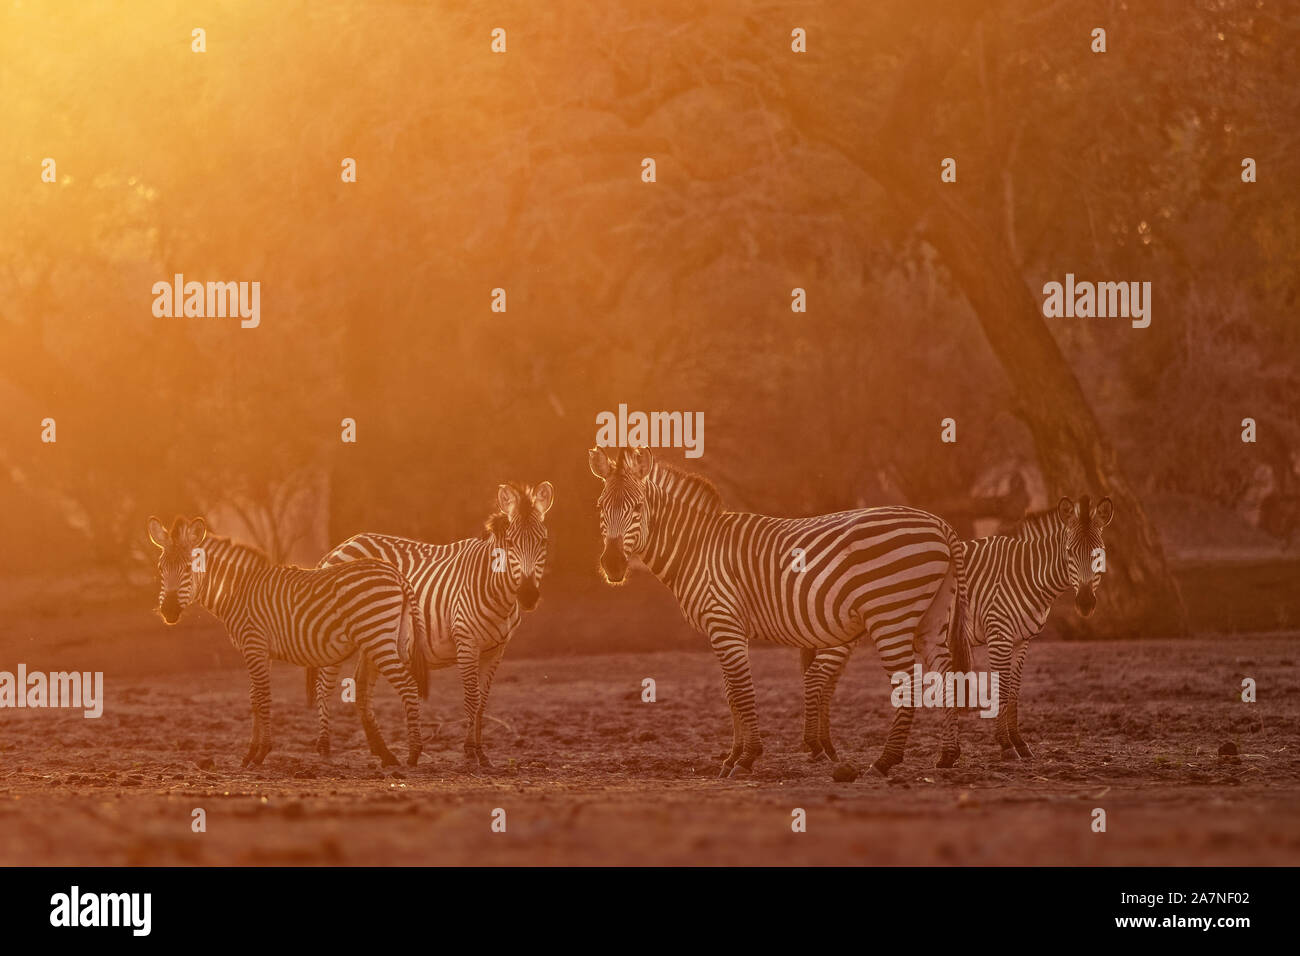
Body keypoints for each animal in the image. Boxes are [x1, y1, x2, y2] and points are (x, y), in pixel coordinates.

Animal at [147, 515, 424, 767]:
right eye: (161, 569)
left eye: (188, 568)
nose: (169, 611)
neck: (236, 592)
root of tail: (396, 573)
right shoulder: (259, 651)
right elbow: (254, 698)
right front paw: (250, 753)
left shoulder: (254, 644)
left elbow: (263, 697)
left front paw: (261, 752)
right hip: (389, 640)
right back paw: (390, 755)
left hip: (378, 638)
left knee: (408, 685)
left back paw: (413, 754)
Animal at [313, 481, 553, 767]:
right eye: (510, 543)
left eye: (543, 541)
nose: (528, 595)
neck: (493, 587)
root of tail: (342, 545)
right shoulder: (466, 642)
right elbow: (471, 698)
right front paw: (469, 752)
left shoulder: (496, 649)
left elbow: (483, 701)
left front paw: (481, 753)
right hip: (335, 631)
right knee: (325, 685)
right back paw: (325, 748)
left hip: (374, 636)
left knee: (361, 688)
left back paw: (383, 752)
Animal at [589, 445, 965, 777]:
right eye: (600, 507)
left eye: (638, 507)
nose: (613, 565)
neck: (696, 547)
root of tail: (939, 524)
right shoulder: (724, 627)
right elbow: (731, 692)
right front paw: (732, 757)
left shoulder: (723, 621)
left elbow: (741, 689)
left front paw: (747, 759)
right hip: (931, 618)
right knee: (945, 672)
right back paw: (947, 756)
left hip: (890, 615)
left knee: (908, 682)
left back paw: (884, 762)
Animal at [800, 494, 1114, 765]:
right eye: (1069, 553)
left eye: (1100, 554)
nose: (1086, 604)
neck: (1026, 572)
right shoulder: (999, 634)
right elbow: (1001, 689)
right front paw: (1006, 745)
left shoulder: (1022, 641)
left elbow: (1014, 691)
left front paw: (1020, 743)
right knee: (817, 676)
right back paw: (816, 748)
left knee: (828, 682)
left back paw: (828, 748)